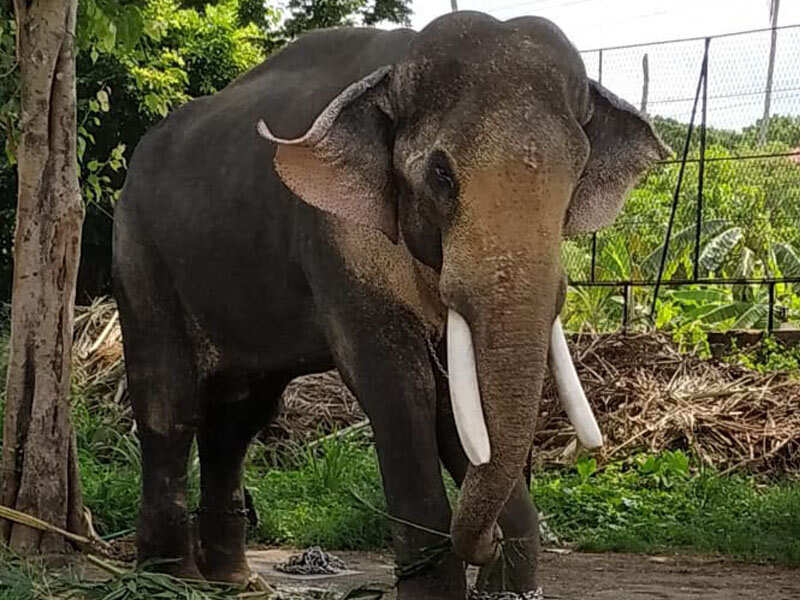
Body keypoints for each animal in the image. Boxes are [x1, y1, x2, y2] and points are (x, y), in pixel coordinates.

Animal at [112, 10, 669, 599]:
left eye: (576, 174)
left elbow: (455, 403)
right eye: (441, 175)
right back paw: (170, 579)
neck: (394, 68)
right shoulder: (335, 237)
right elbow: (401, 388)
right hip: (140, 251)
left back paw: (236, 583)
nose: (488, 544)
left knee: (240, 417)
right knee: (169, 406)